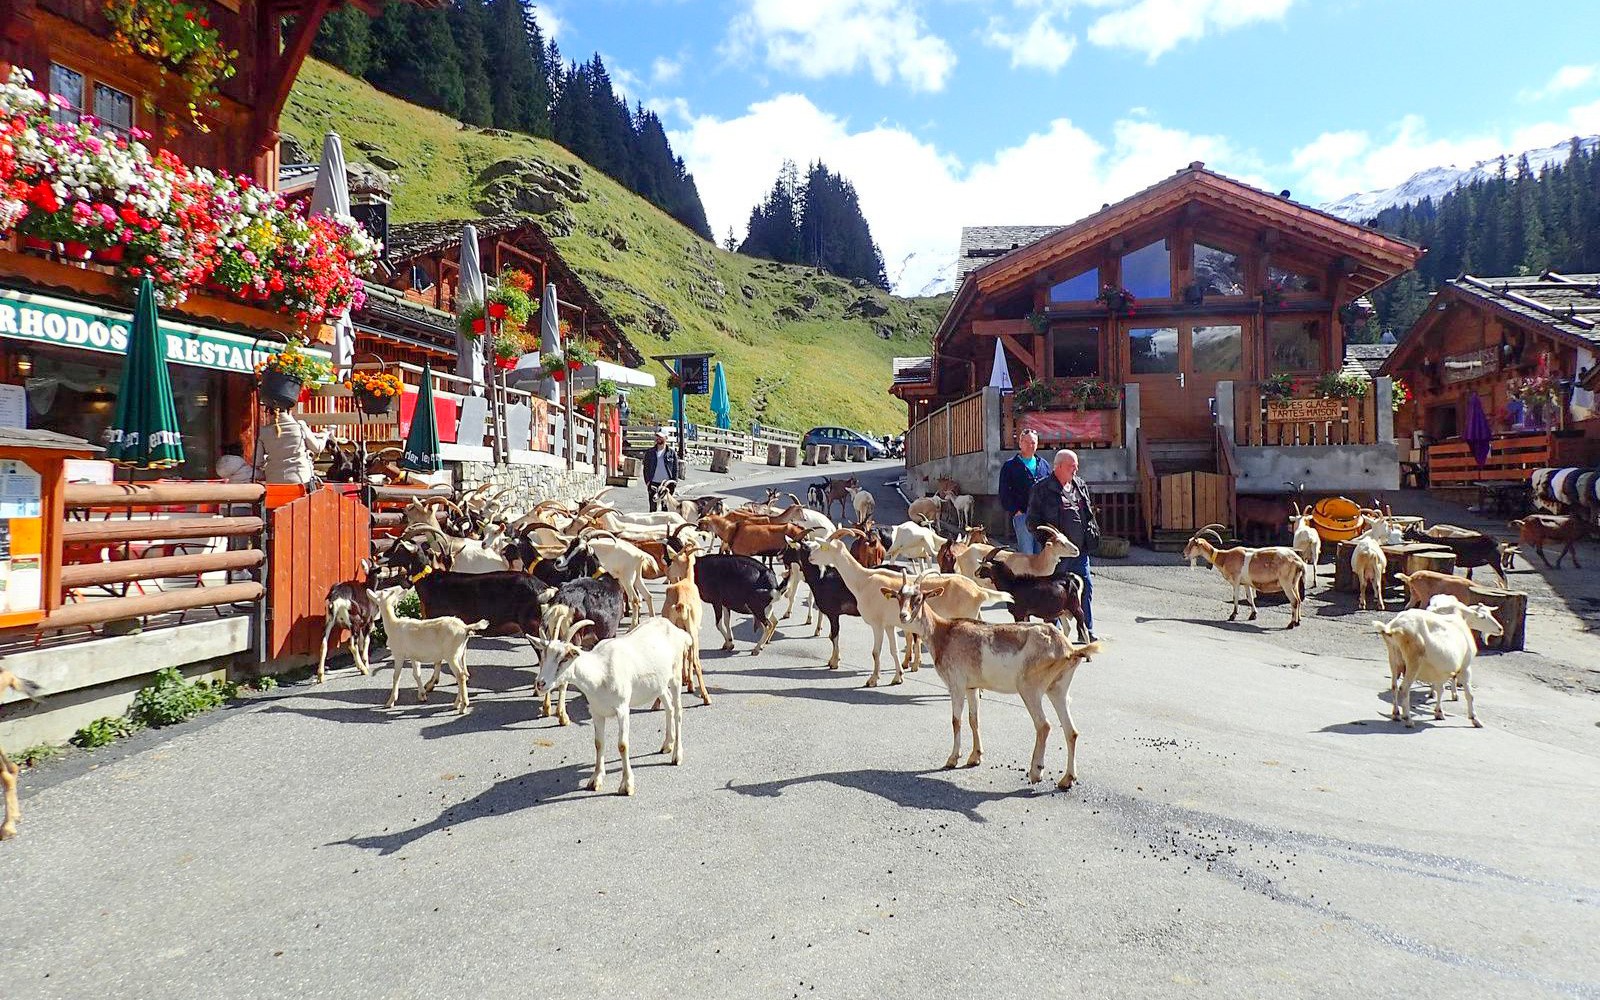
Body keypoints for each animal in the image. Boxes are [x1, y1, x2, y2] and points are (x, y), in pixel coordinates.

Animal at [531, 617, 691, 796]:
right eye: (543, 656)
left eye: (564, 659)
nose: (540, 683)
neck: (600, 673)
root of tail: (676, 630)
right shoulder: (596, 711)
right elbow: (598, 743)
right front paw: (595, 780)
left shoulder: (622, 709)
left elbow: (622, 745)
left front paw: (627, 785)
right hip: (659, 684)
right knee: (669, 706)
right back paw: (667, 745)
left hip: (676, 675)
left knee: (678, 711)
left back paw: (677, 756)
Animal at [889, 573, 1101, 789]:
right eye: (898, 596)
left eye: (918, 598)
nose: (903, 616)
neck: (944, 633)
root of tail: (1069, 650)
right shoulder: (972, 687)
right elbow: (973, 720)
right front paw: (975, 757)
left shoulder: (956, 685)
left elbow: (956, 721)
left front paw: (952, 759)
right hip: (1058, 688)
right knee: (1071, 731)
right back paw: (1067, 779)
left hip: (1030, 689)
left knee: (1044, 726)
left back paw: (1036, 772)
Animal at [1373, 595, 1503, 728]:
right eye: (1484, 616)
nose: (1500, 629)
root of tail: (1393, 628)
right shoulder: (1465, 667)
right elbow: (1469, 694)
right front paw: (1475, 719)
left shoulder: (1439, 670)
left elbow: (1440, 689)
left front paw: (1439, 712)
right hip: (1413, 662)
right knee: (1404, 688)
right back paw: (1408, 719)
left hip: (1394, 660)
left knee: (1394, 686)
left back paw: (1396, 715)